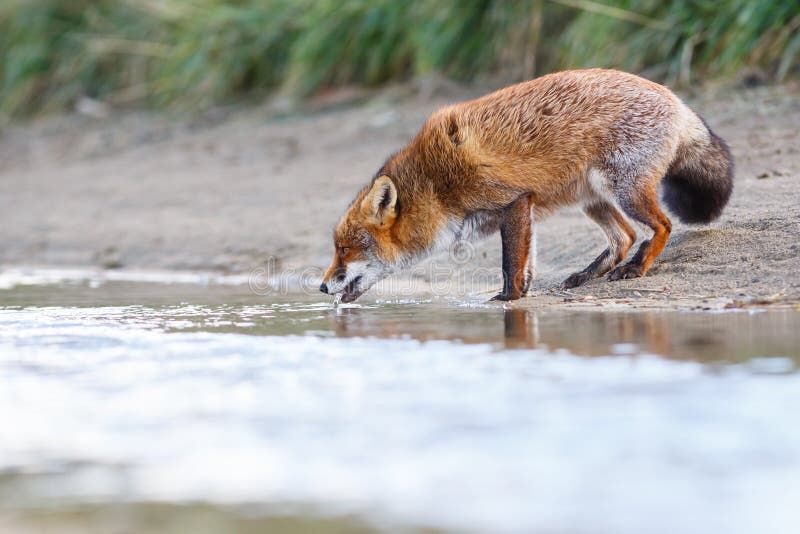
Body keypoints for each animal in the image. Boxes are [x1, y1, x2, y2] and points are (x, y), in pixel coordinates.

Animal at [320, 69, 733, 302]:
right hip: (593, 197)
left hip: (624, 189)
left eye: (344, 249)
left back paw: (636, 268)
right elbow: (527, 263)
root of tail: (676, 100)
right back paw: (587, 275)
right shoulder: (527, 207)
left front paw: (508, 299)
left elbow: (510, 264)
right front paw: (522, 293)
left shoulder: (513, 202)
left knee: (661, 226)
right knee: (625, 237)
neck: (436, 185)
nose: (321, 288)